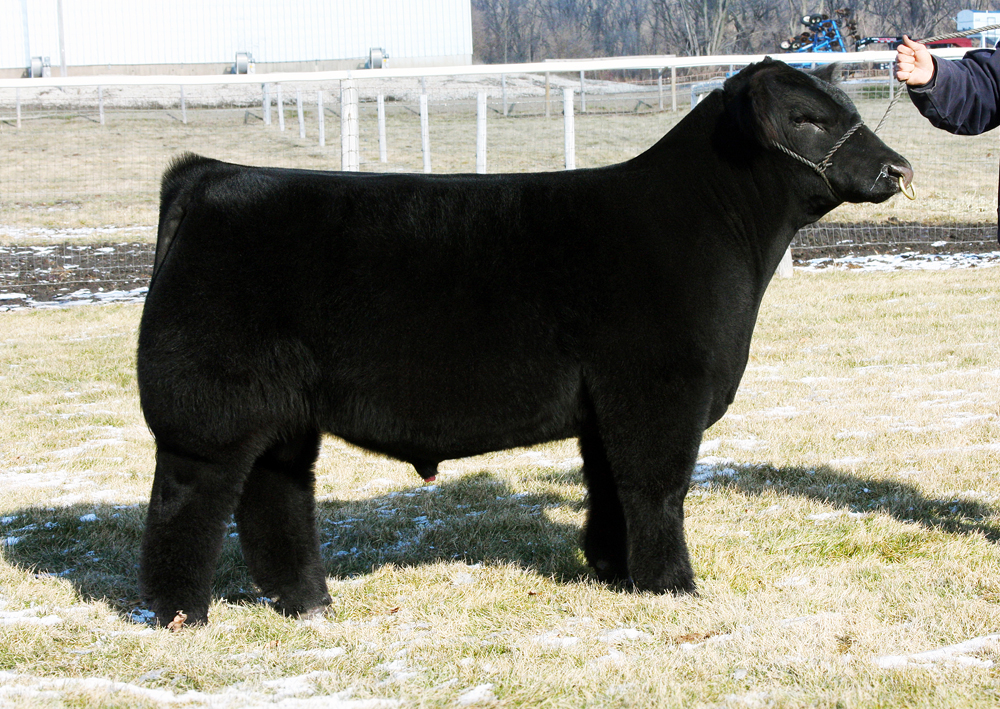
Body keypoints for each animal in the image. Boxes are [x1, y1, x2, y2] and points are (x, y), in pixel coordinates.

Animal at [136, 59, 912, 626]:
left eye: (848, 108)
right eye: (807, 119)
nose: (899, 168)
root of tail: (209, 175)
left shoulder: (607, 406)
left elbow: (609, 484)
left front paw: (612, 569)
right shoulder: (660, 391)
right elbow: (658, 487)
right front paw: (672, 586)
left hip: (284, 415)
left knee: (275, 495)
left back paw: (310, 605)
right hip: (209, 415)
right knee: (187, 505)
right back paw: (182, 616)